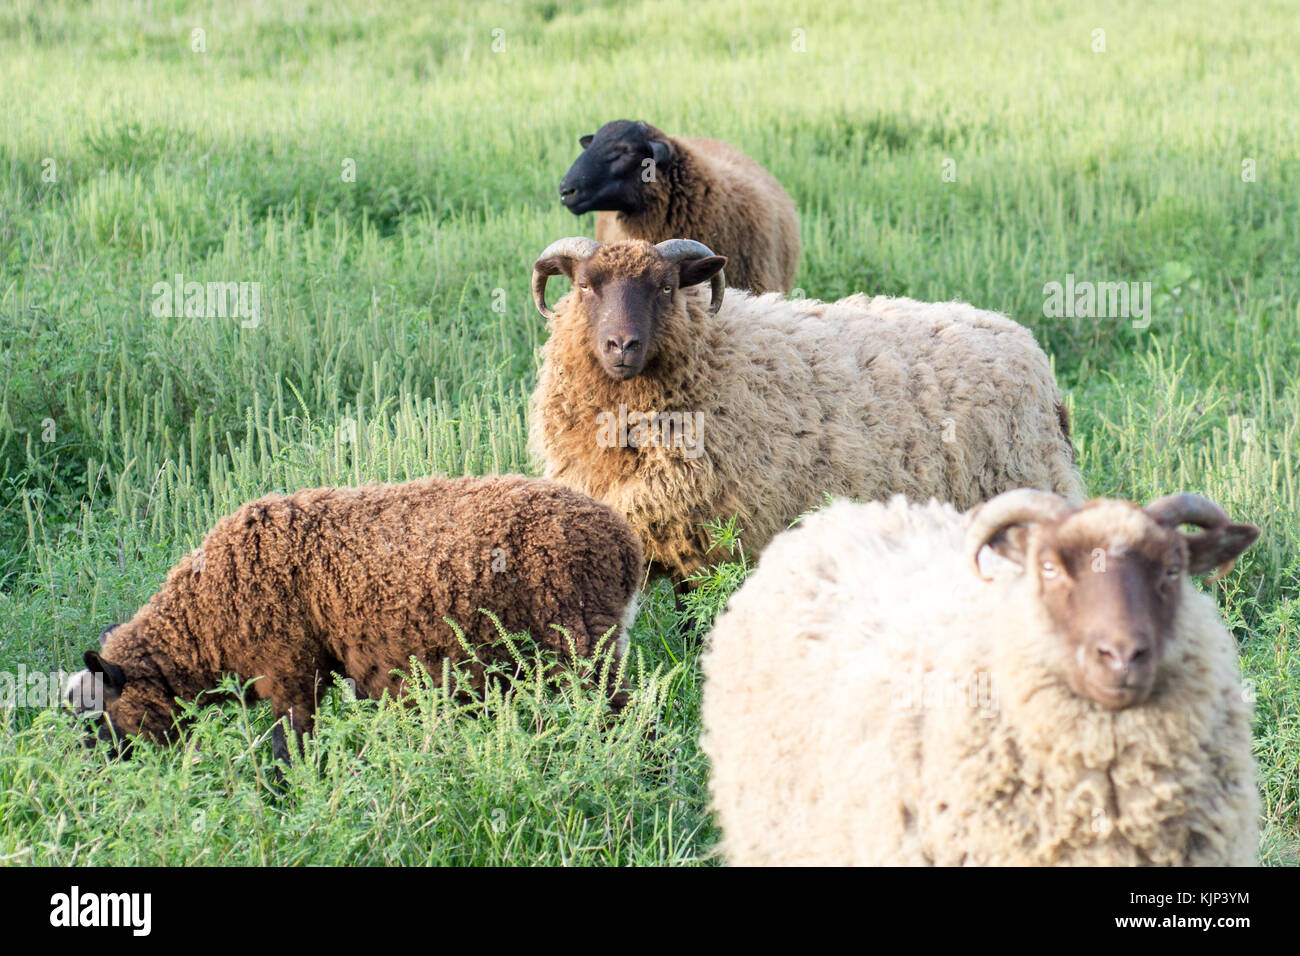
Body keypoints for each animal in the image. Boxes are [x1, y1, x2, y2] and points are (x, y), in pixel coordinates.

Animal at [64, 475, 644, 762]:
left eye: (98, 714)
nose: (90, 769)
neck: (204, 618)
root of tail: (623, 542)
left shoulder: (290, 674)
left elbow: (289, 748)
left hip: (583, 645)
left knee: (624, 714)